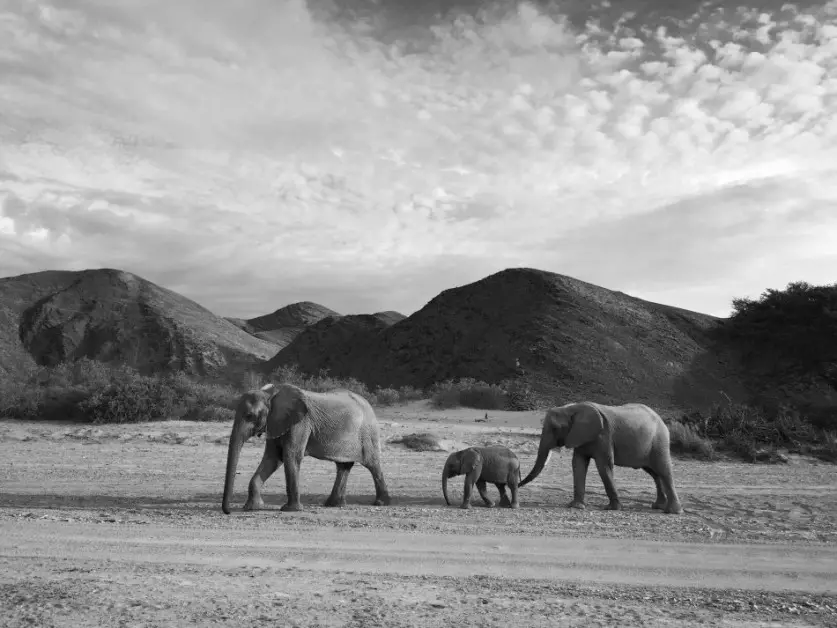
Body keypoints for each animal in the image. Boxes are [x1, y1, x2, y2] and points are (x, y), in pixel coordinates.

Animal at [222, 382, 392, 516]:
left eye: (250, 416)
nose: (228, 511)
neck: (271, 394)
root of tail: (368, 404)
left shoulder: (301, 423)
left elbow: (291, 456)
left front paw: (291, 510)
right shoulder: (276, 423)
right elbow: (272, 458)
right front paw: (252, 507)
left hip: (368, 433)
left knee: (372, 464)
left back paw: (382, 503)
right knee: (343, 466)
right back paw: (333, 504)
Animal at [520, 402, 684, 516]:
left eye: (554, 428)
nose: (518, 483)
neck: (572, 408)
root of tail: (661, 420)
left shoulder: (604, 436)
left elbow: (603, 466)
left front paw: (612, 509)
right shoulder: (579, 436)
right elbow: (578, 464)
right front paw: (575, 506)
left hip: (659, 441)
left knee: (663, 471)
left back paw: (672, 511)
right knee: (654, 473)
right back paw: (658, 507)